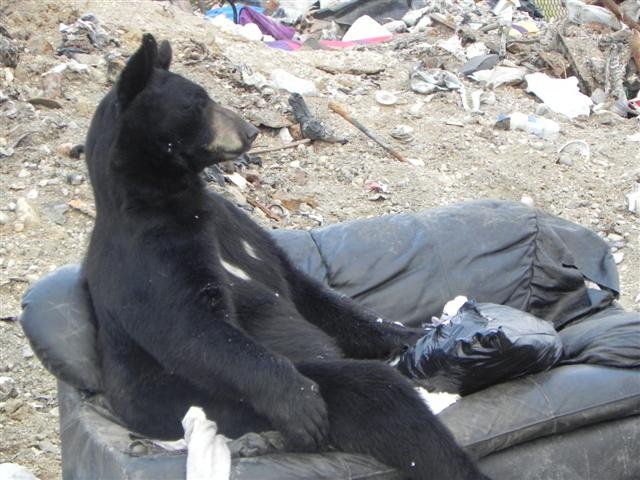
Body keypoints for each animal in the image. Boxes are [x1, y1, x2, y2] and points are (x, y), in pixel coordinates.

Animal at [81, 34, 489, 480]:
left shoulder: (237, 227)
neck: (175, 201)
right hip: (213, 404)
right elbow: (193, 328)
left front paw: (415, 334)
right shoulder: (149, 256)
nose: (249, 131)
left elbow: (303, 289)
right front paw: (299, 403)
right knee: (380, 398)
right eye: (198, 103)